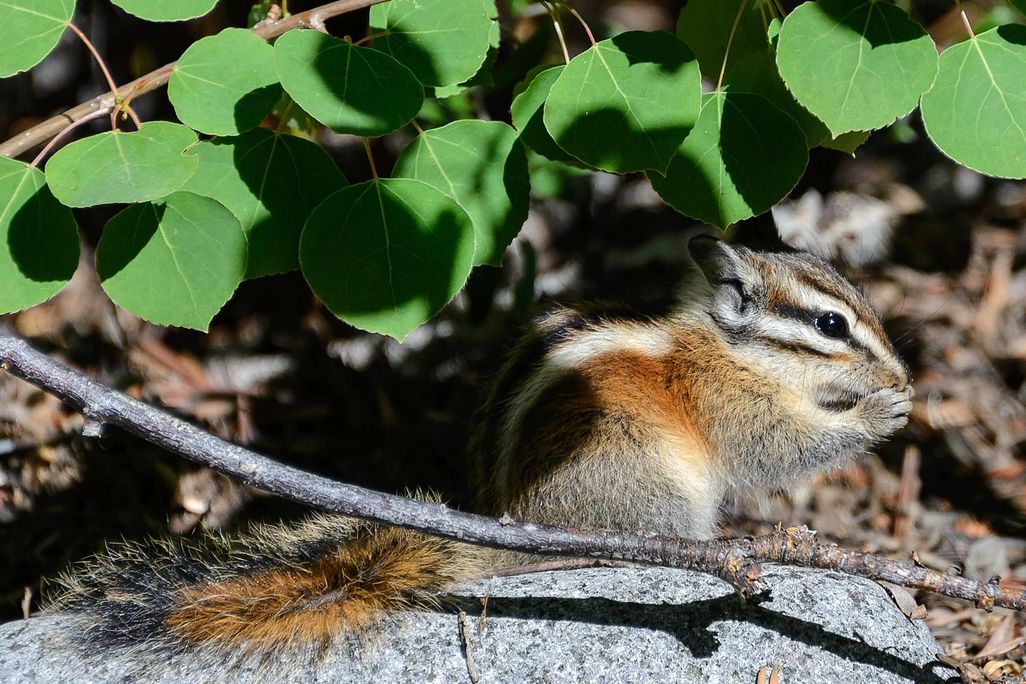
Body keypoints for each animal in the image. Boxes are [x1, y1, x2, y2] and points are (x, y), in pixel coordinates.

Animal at [45, 236, 912, 665]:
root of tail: (504, 531)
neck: (731, 346)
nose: (902, 370)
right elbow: (779, 447)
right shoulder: (730, 402)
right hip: (648, 482)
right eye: (831, 325)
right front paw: (878, 412)